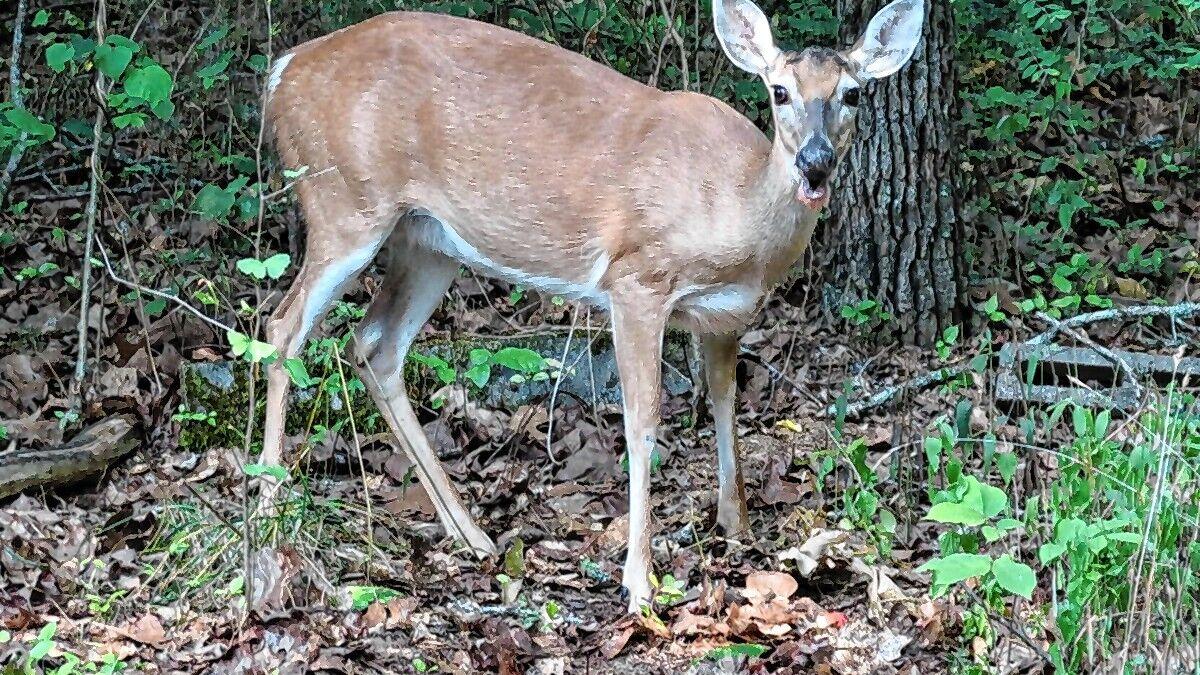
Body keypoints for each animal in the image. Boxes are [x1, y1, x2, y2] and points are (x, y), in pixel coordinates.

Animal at [260, 0, 924, 611]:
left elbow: (725, 402)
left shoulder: (726, 316)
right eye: (780, 91)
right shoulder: (637, 281)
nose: (815, 161)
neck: (738, 215)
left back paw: (472, 535)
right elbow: (643, 420)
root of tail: (282, 70)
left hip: (428, 240)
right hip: (343, 201)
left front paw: (736, 527)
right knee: (283, 327)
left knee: (374, 346)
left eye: (854, 94)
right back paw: (268, 527)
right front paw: (639, 580)